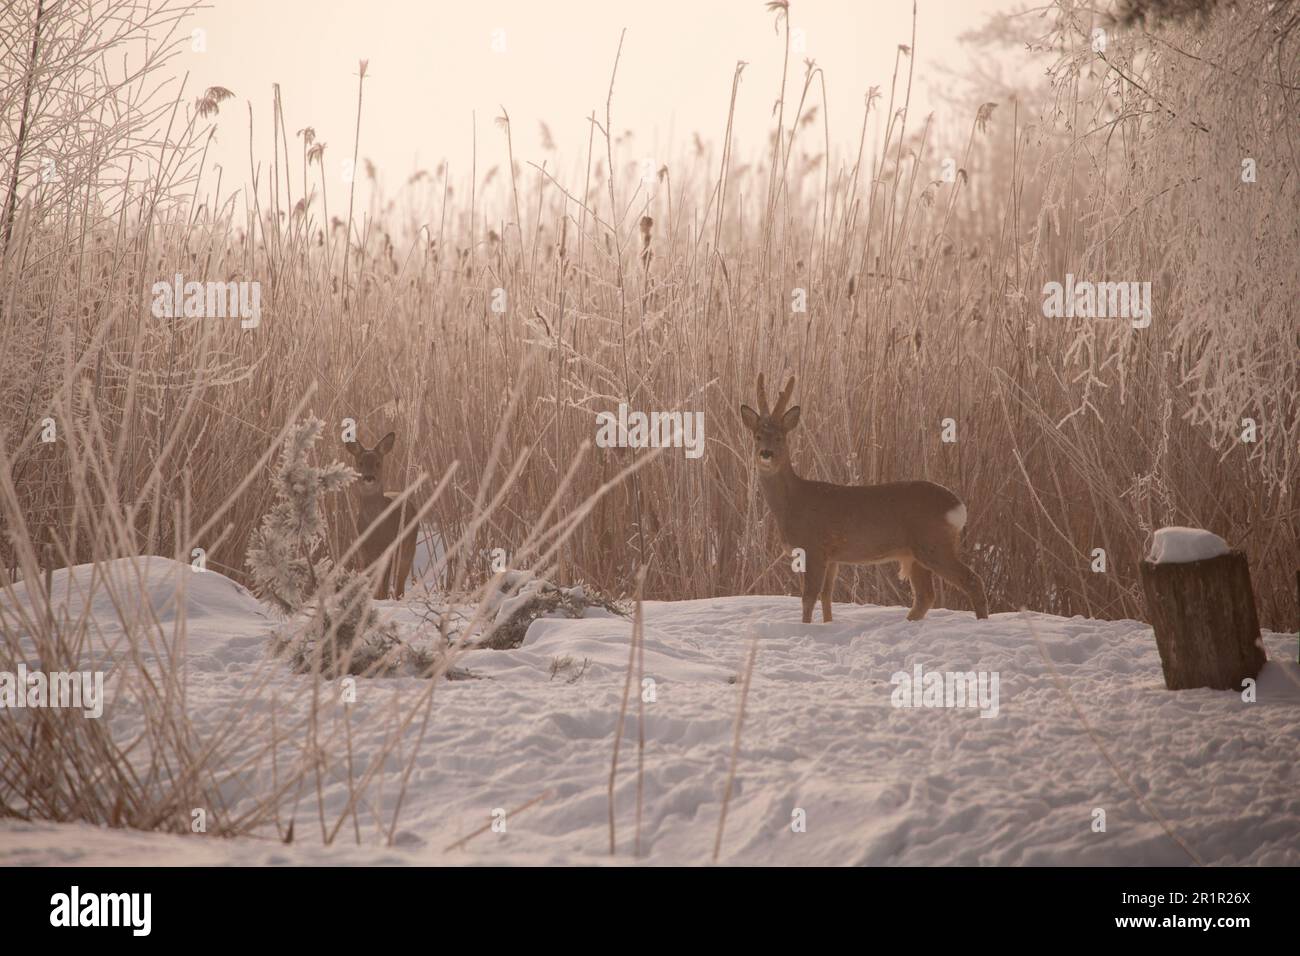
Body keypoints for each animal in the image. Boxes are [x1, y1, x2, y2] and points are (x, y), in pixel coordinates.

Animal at [343, 432, 419, 600]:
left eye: (378, 463)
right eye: (360, 463)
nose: (369, 477)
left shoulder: (388, 548)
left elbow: (383, 585)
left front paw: (381, 600)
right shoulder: (363, 552)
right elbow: (371, 583)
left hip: (408, 548)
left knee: (400, 582)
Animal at [739, 375, 989, 624]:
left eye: (780, 437)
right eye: (757, 436)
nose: (766, 453)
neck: (792, 503)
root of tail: (958, 506)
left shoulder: (813, 547)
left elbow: (808, 597)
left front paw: (806, 627)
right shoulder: (832, 557)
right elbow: (826, 596)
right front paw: (827, 625)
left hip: (933, 544)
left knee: (972, 580)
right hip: (916, 554)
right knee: (925, 596)